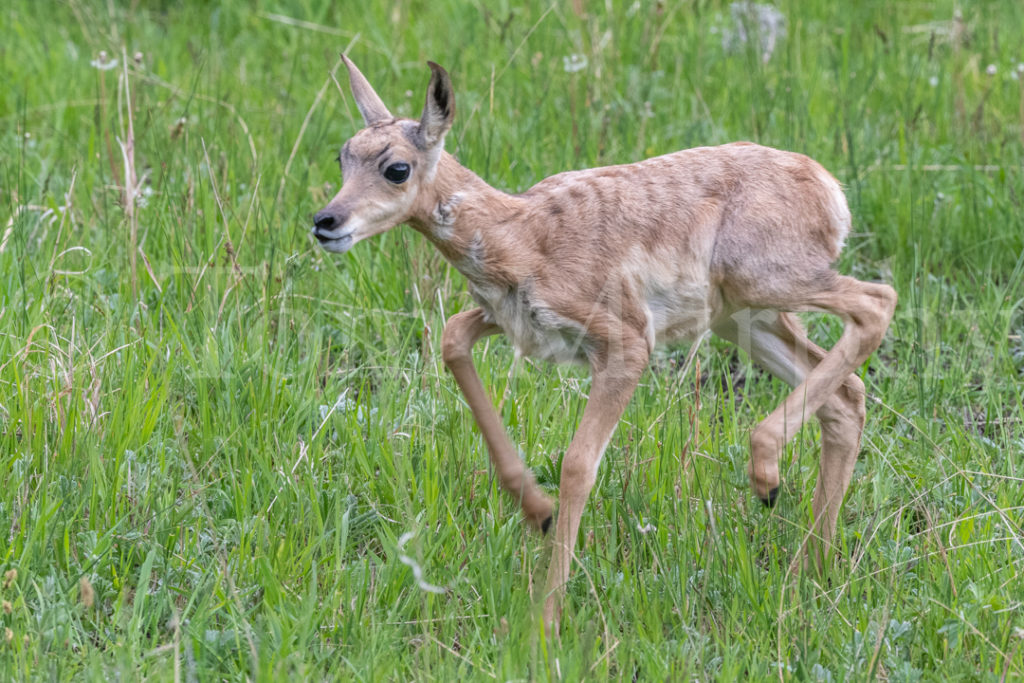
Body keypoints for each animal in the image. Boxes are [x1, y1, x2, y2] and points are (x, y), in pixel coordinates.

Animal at [312, 56, 897, 628]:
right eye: (343, 156)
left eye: (396, 167)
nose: (324, 222)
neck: (521, 230)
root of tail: (825, 184)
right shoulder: (508, 322)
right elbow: (453, 338)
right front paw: (537, 511)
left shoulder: (625, 347)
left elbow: (578, 464)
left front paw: (545, 620)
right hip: (744, 318)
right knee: (846, 397)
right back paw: (806, 576)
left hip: (770, 287)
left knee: (876, 302)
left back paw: (767, 477)